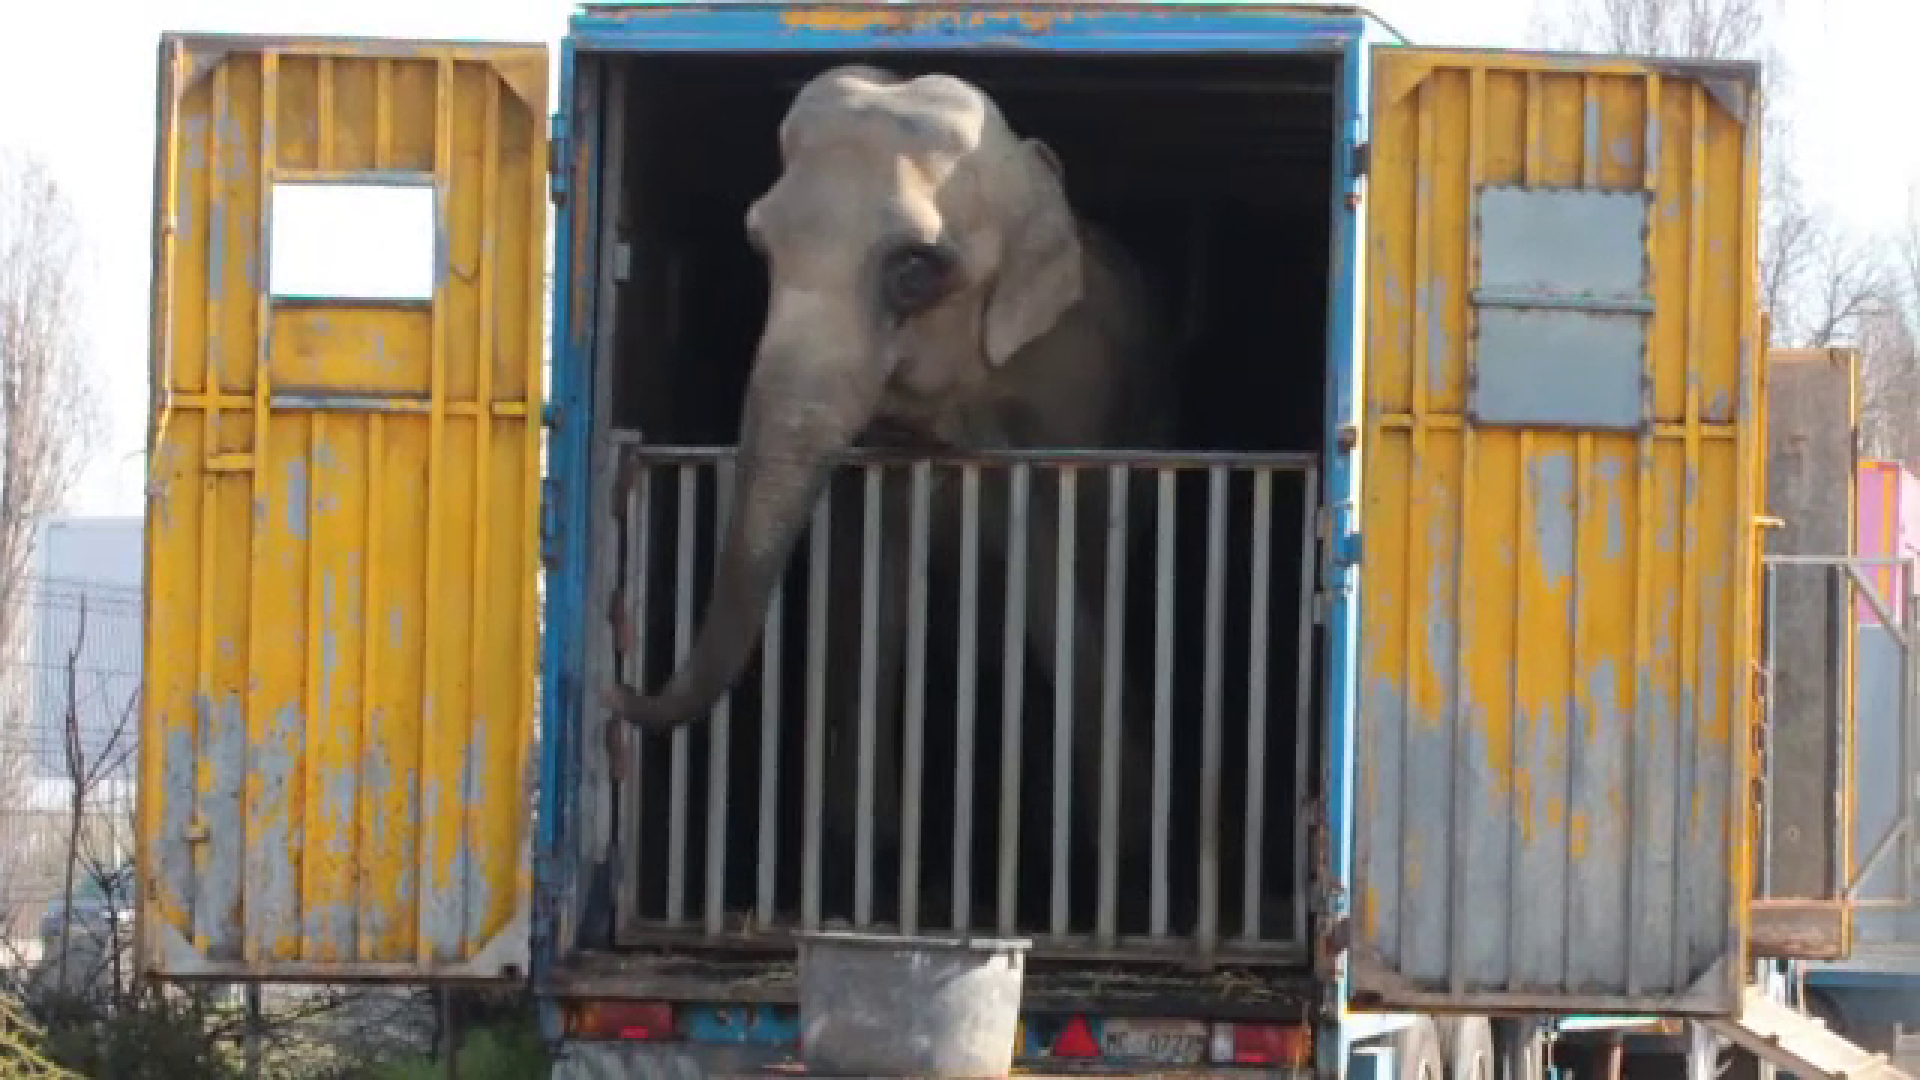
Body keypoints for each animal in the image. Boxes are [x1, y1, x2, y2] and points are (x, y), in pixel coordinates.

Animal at [607, 65, 1177, 927]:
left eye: (915, 269)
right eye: (760, 247)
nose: (617, 681)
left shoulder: (1070, 421)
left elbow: (1066, 611)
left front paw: (1125, 878)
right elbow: (872, 612)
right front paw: (862, 885)